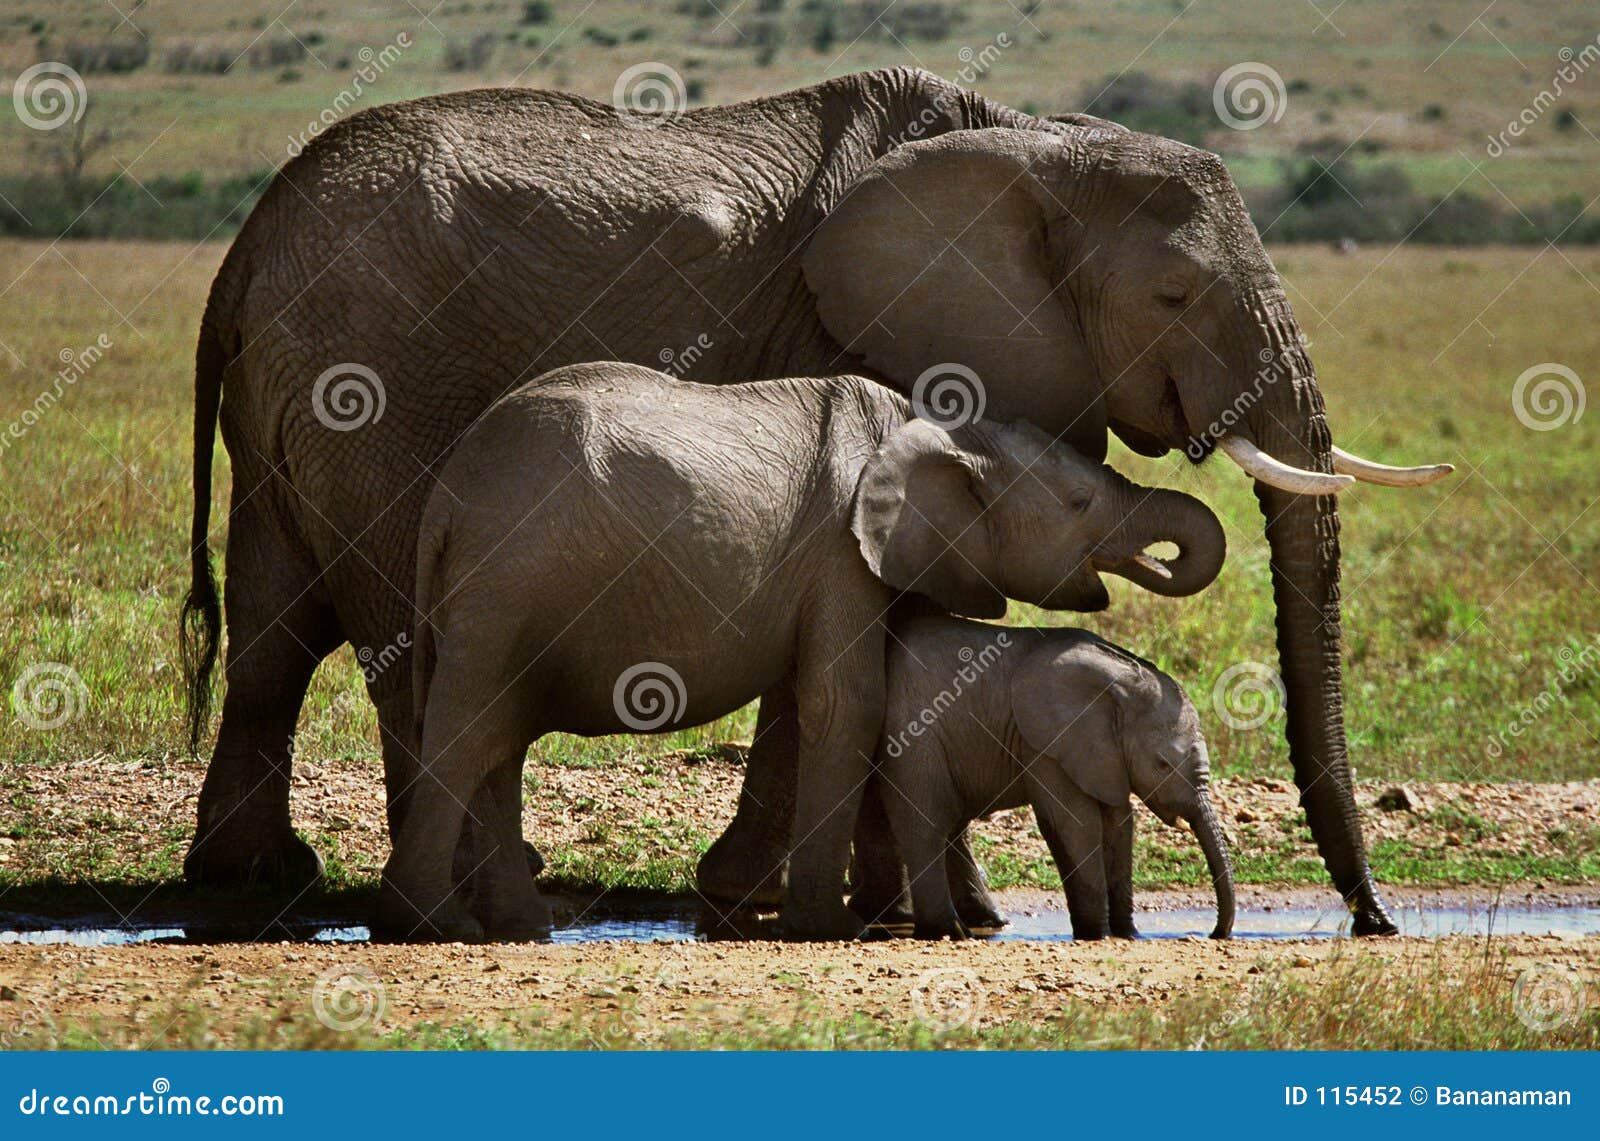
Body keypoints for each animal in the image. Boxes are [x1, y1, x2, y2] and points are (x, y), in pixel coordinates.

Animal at [870, 616, 1235, 941]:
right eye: (1162, 764)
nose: (1213, 933)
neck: (1119, 681)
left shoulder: (1103, 757)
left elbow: (1118, 823)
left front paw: (1129, 934)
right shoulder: (1047, 744)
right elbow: (1076, 823)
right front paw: (1098, 935)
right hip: (912, 737)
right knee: (927, 823)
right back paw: (948, 931)